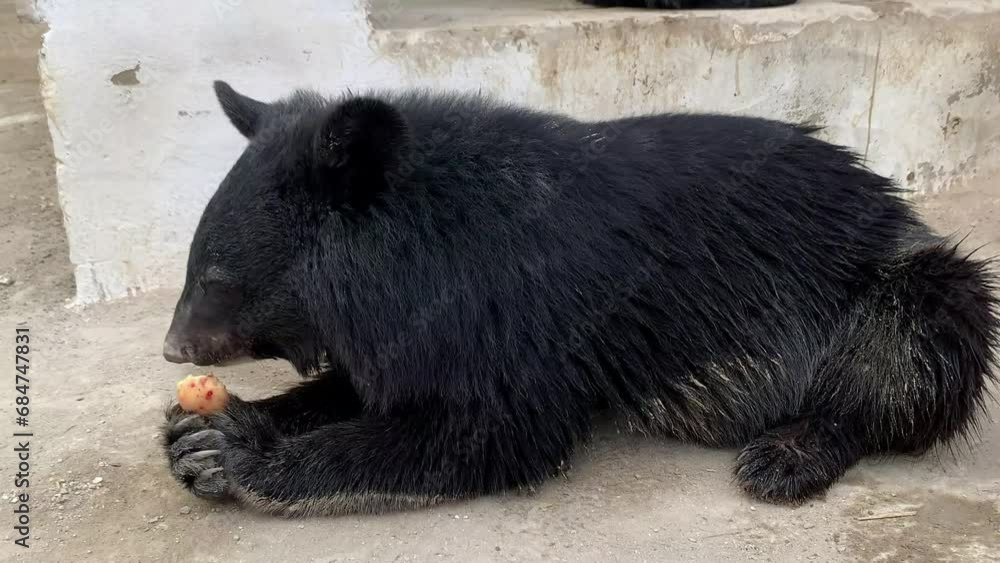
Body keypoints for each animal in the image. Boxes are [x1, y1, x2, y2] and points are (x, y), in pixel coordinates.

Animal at [161, 81, 998, 516]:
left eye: (215, 277)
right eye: (196, 267)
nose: (173, 348)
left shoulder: (518, 313)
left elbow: (489, 430)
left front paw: (240, 451)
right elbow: (367, 387)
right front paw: (201, 430)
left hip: (913, 287)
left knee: (914, 347)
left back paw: (791, 452)